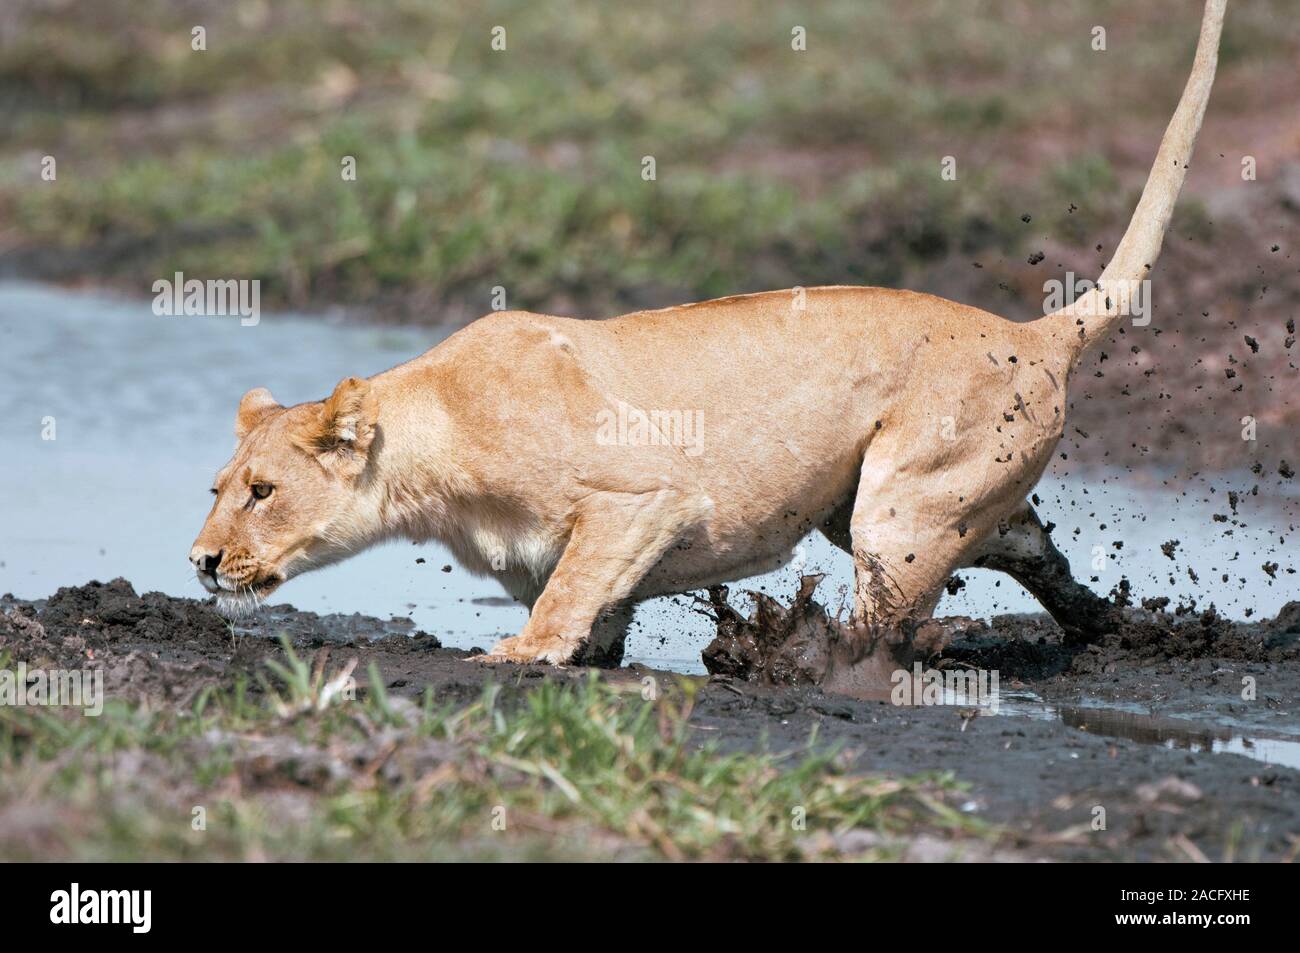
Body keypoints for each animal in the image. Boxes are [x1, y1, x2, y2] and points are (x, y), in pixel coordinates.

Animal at [191, 1, 1227, 682]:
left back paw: (823, 662)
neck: (429, 449)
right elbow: (587, 598)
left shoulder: (645, 495)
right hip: (927, 498)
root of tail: (1035, 327)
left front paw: (522, 653)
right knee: (1035, 549)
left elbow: (570, 587)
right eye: (216, 489)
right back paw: (1111, 630)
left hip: (899, 506)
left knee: (890, 617)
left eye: (262, 492)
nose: (199, 560)